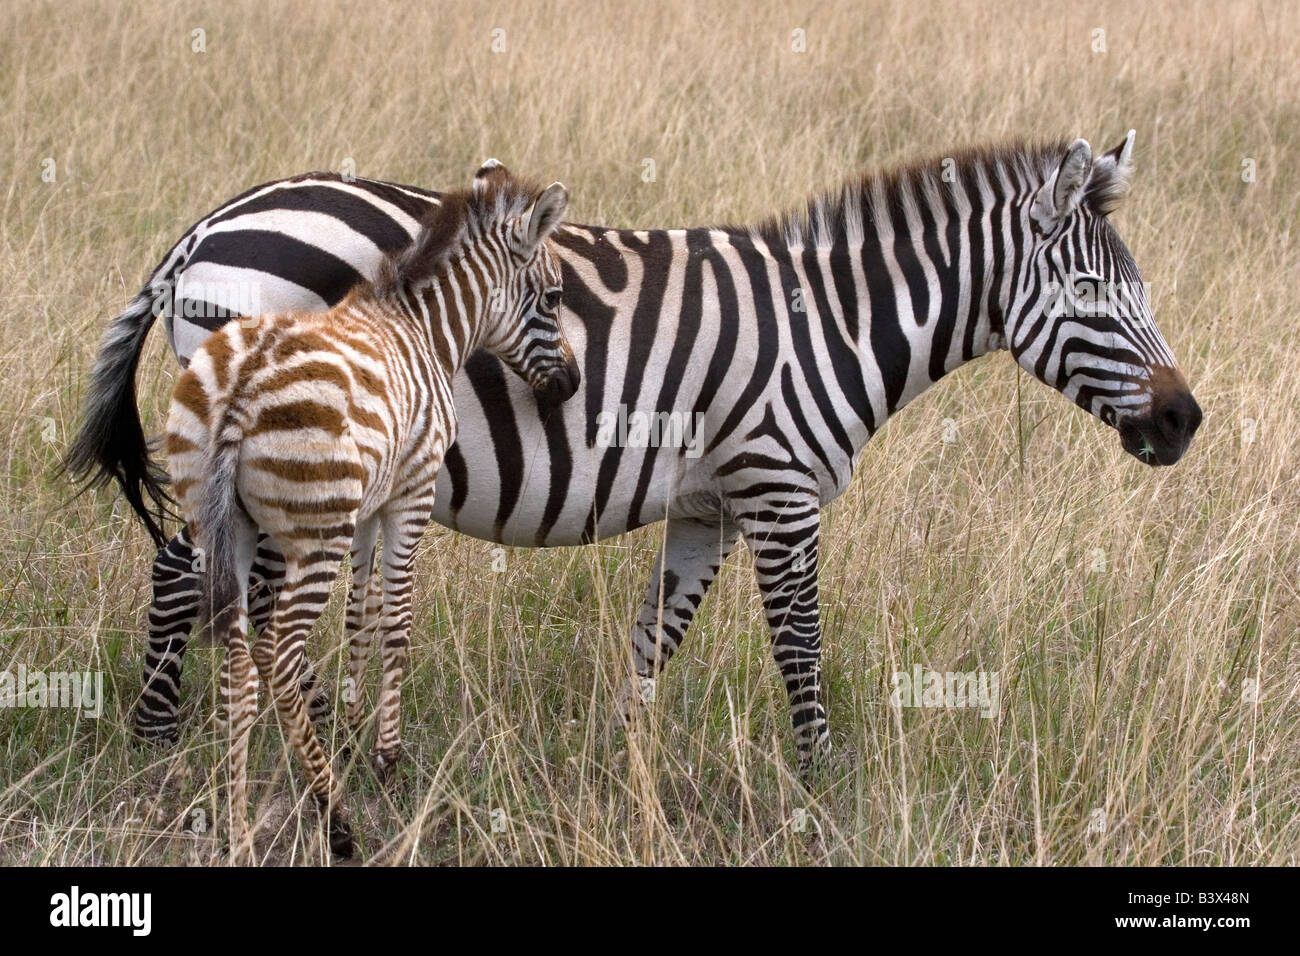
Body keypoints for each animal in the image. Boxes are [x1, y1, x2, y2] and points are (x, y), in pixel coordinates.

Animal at [66, 131, 1202, 768]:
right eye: (1094, 293)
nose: (1186, 421)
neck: (831, 322)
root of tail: (211, 224)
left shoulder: (710, 507)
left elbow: (656, 639)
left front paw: (621, 767)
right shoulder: (780, 486)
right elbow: (802, 644)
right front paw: (820, 785)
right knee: (188, 573)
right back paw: (161, 746)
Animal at [166, 162, 575, 859]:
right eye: (552, 297)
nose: (572, 385)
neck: (426, 329)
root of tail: (245, 385)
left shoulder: (366, 505)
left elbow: (361, 613)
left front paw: (354, 736)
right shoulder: (410, 491)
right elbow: (398, 618)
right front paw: (386, 757)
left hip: (226, 525)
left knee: (239, 668)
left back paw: (239, 831)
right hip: (315, 535)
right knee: (278, 656)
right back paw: (337, 822)